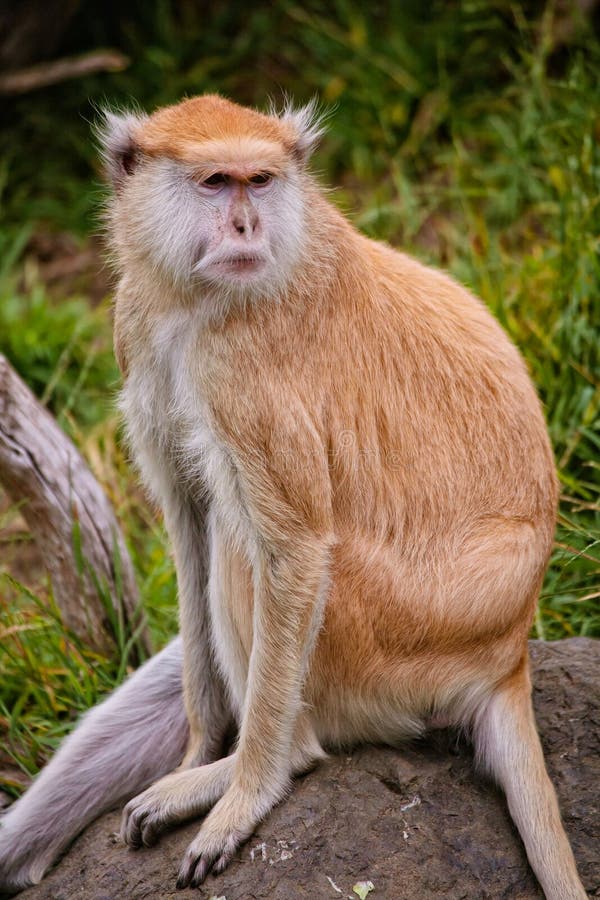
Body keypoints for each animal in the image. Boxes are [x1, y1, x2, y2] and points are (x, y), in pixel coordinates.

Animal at [0, 95, 587, 899]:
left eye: (262, 181)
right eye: (216, 183)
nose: (247, 227)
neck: (196, 298)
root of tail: (505, 654)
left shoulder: (242, 374)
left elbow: (294, 549)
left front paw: (242, 792)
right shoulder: (138, 329)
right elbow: (187, 519)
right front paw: (198, 747)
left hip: (382, 647)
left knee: (248, 551)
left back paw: (269, 761)